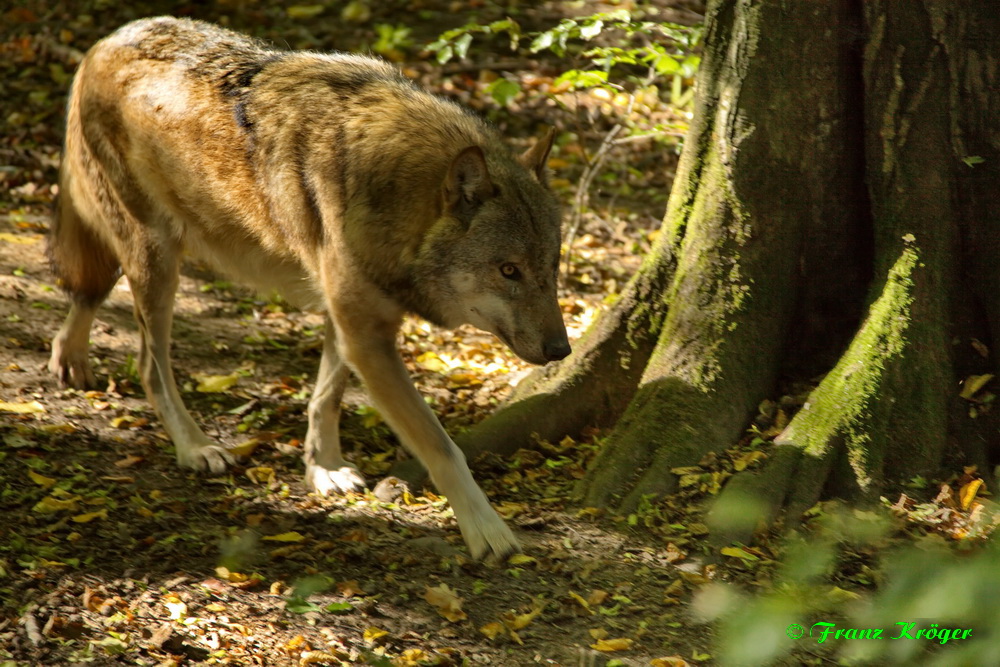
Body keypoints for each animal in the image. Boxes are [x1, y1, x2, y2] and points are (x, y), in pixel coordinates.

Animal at [47, 16, 570, 560]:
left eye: (550, 266)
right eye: (508, 271)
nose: (562, 350)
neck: (388, 190)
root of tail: (107, 40)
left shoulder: (351, 319)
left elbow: (326, 397)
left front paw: (324, 469)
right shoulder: (367, 335)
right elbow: (442, 447)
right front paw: (487, 531)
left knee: (87, 292)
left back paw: (70, 357)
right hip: (156, 259)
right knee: (150, 365)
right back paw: (194, 447)